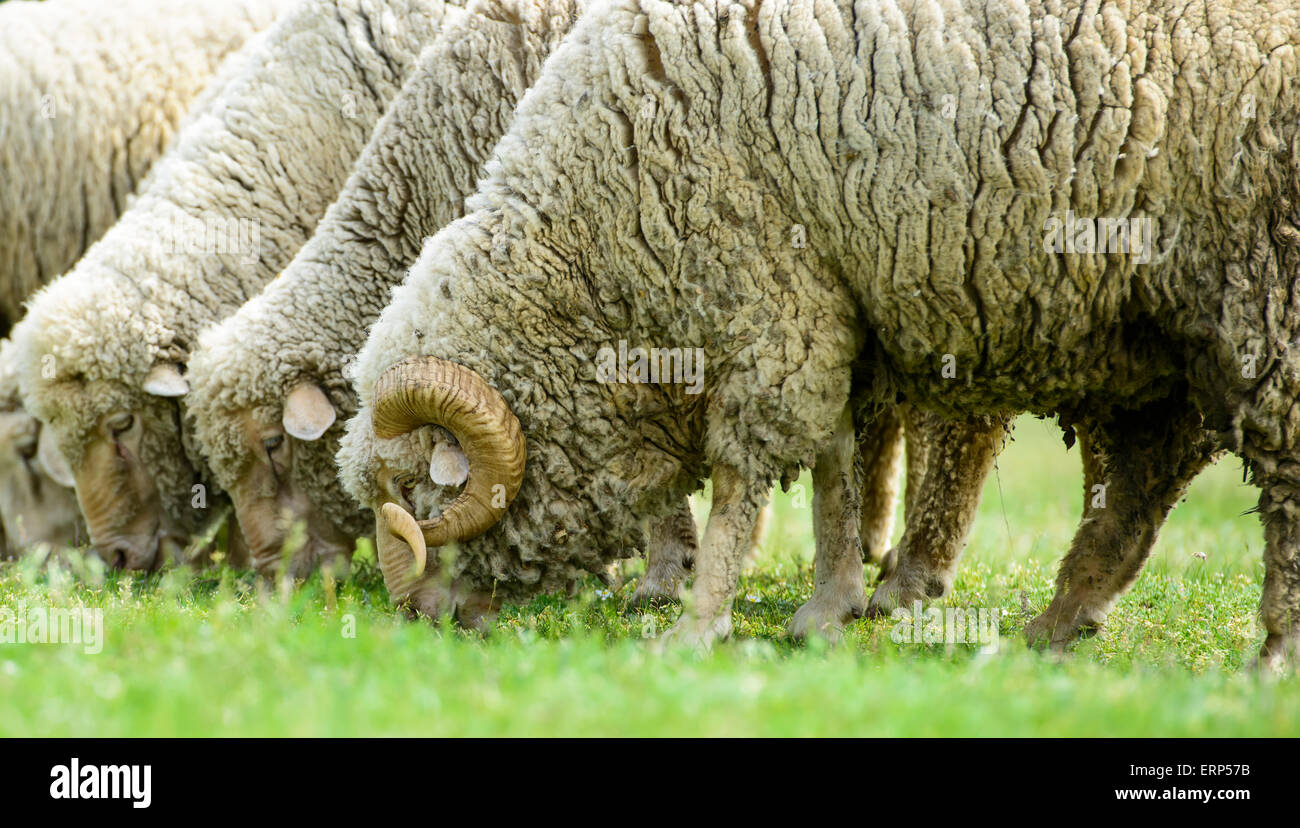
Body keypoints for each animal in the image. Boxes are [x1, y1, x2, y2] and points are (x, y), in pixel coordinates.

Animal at [336, 0, 1300, 669]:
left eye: (418, 498)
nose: (413, 625)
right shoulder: (826, 310)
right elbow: (837, 461)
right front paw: (828, 606)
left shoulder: (769, 300)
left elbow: (743, 479)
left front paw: (699, 626)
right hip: (1152, 336)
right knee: (1138, 485)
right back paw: (1056, 627)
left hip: (1265, 294)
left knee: (1276, 481)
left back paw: (1270, 658)